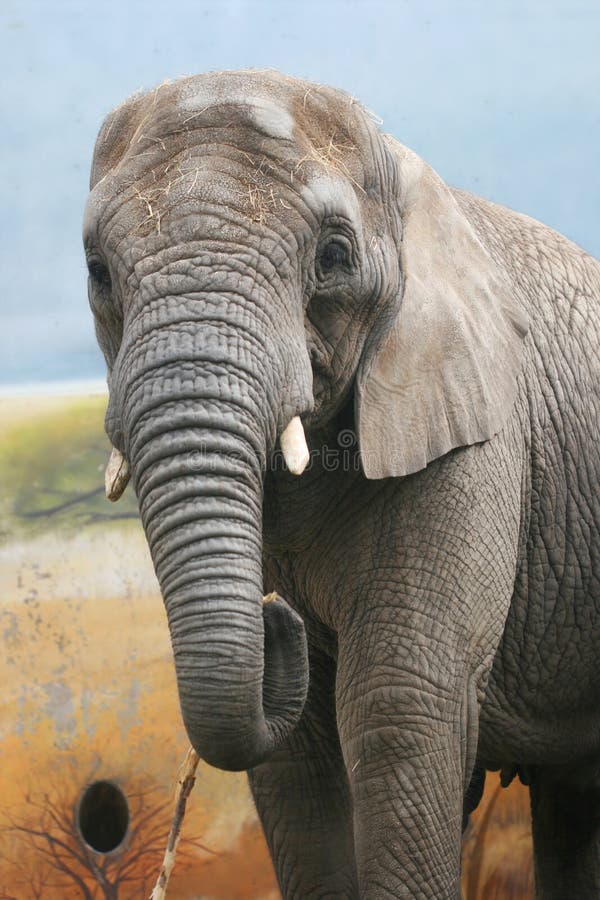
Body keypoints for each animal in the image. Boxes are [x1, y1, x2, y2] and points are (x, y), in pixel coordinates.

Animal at [83, 70, 600, 899]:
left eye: (332, 255)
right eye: (98, 271)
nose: (277, 617)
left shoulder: (473, 432)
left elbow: (399, 702)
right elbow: (299, 754)